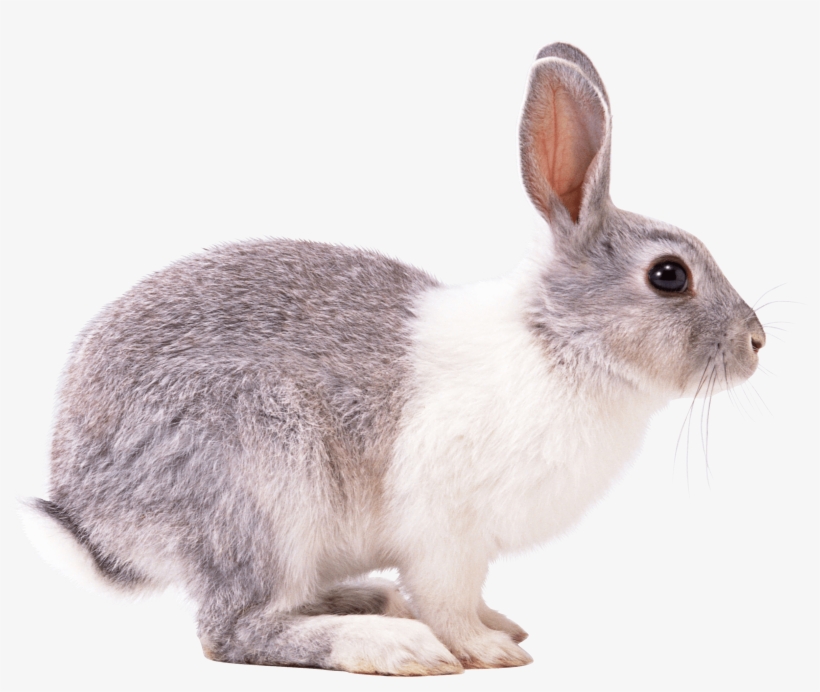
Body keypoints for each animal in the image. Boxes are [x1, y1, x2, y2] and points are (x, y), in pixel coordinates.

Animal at [26, 43, 765, 675]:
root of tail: (95, 519)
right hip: (260, 478)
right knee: (234, 629)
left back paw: (377, 602)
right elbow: (448, 598)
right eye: (669, 276)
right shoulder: (445, 533)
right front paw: (488, 649)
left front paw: (500, 624)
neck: (559, 339)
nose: (758, 343)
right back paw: (392, 644)